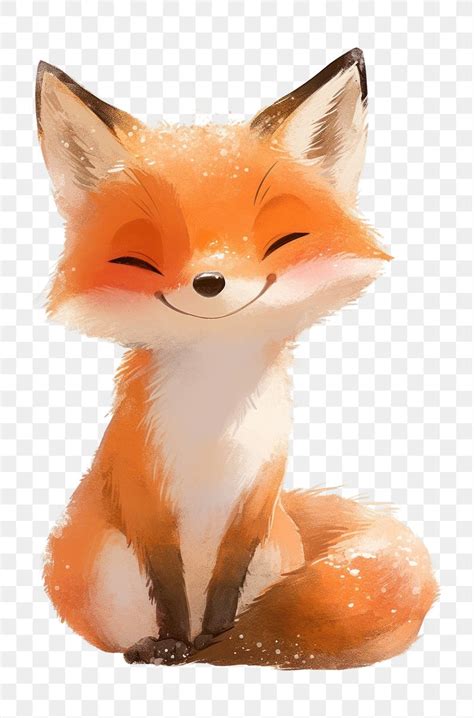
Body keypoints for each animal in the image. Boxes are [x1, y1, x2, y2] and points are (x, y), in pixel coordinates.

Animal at [36, 49, 437, 669]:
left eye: (281, 238)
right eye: (140, 256)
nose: (209, 282)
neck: (214, 413)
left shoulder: (258, 490)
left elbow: (227, 583)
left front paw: (216, 636)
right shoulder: (142, 487)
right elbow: (168, 585)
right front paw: (175, 641)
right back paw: (148, 646)